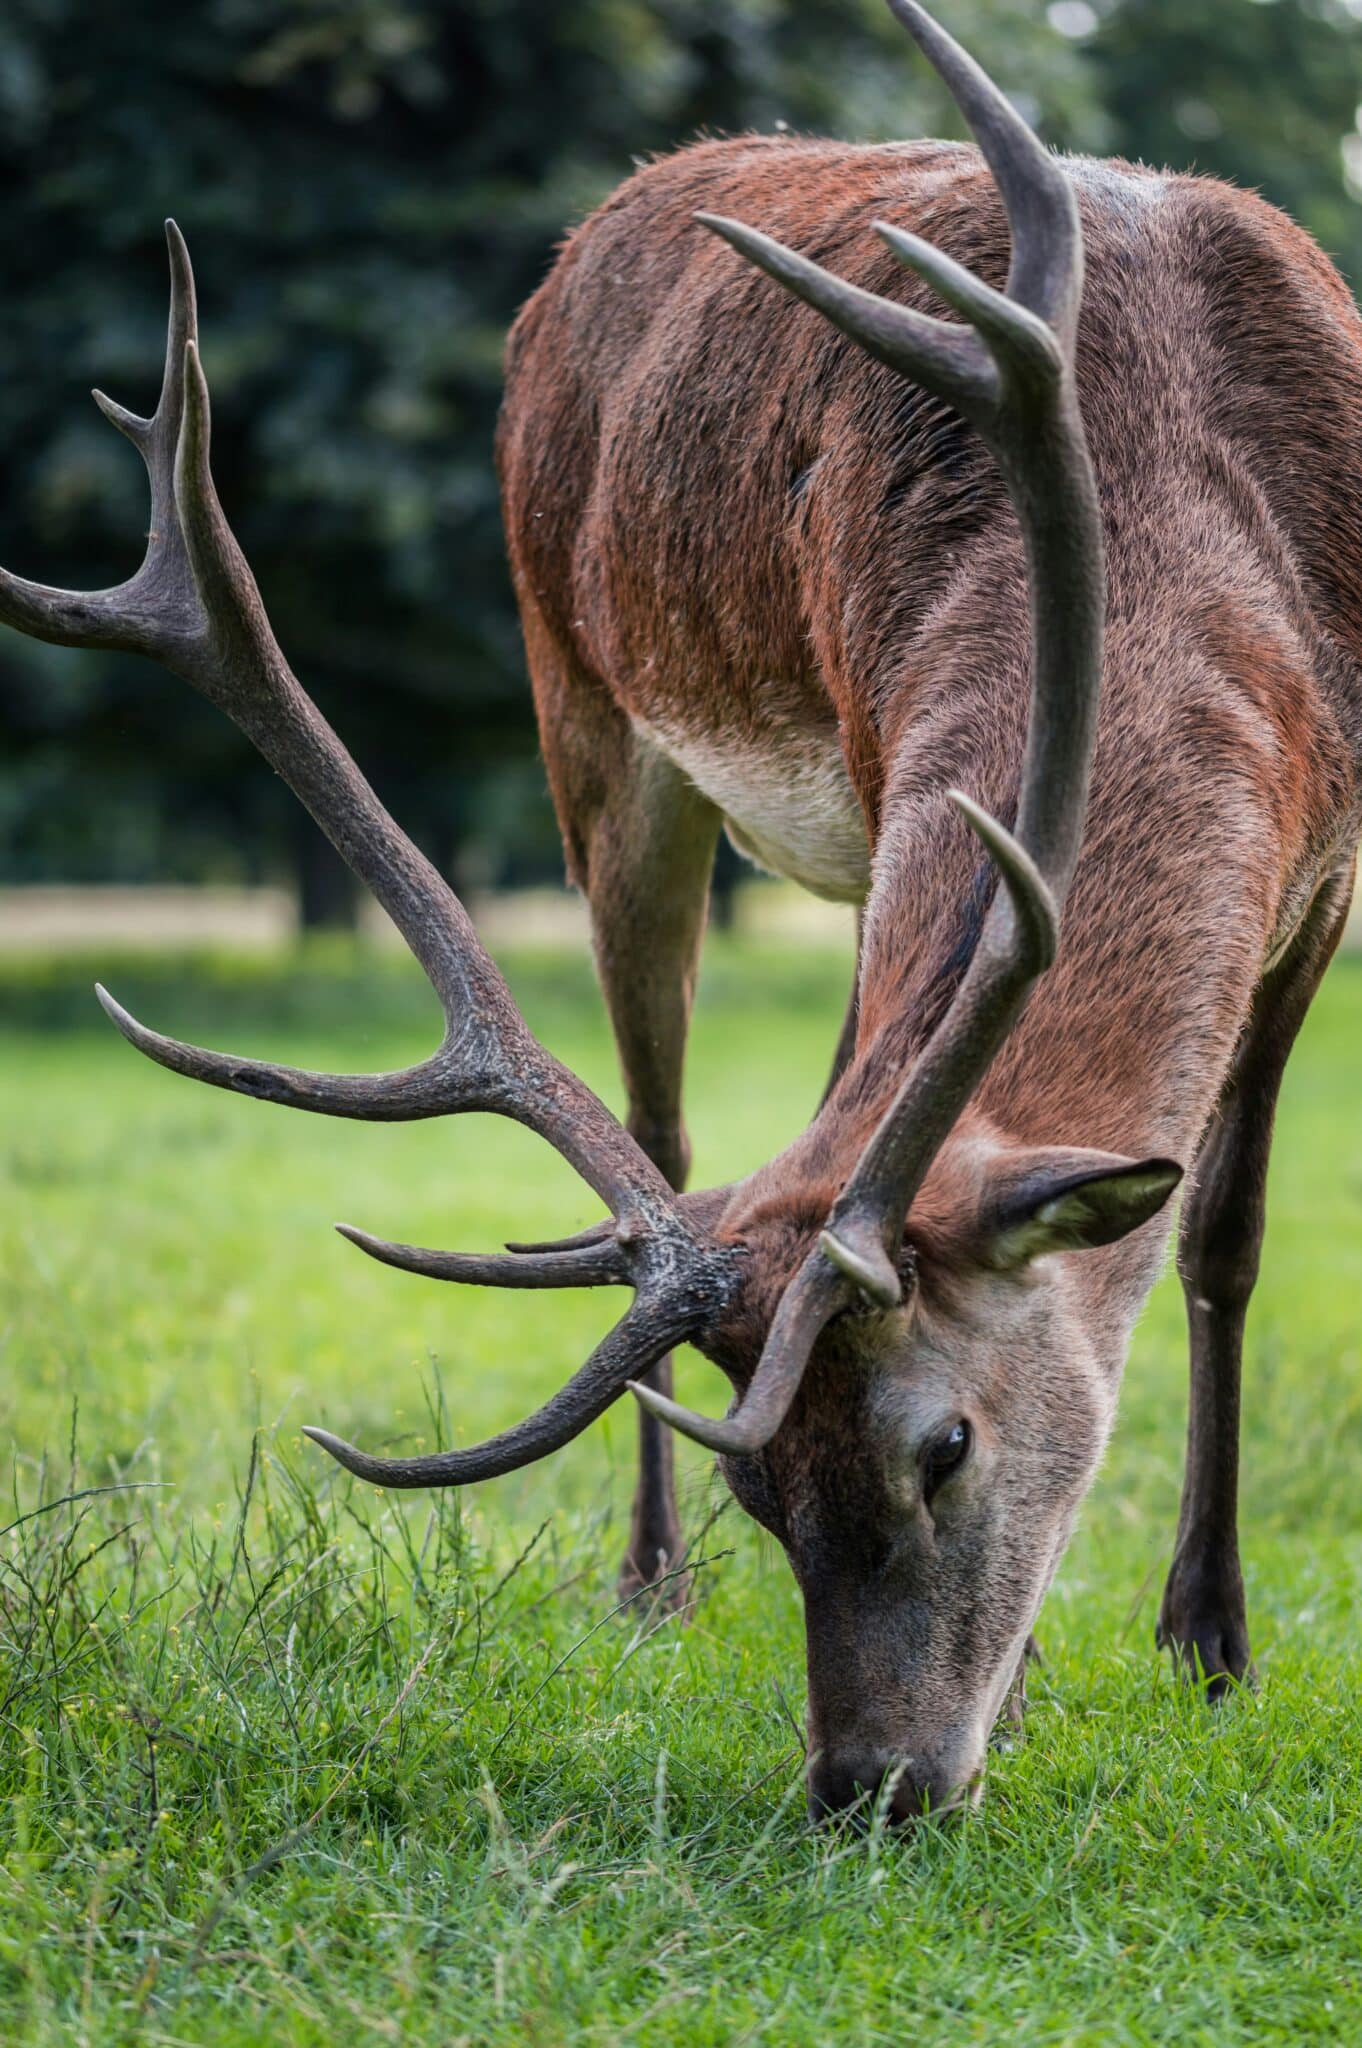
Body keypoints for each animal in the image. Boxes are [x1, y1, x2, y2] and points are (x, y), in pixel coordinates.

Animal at [3, 0, 1360, 1826]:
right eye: (760, 1496)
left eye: (943, 1443)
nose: (868, 1779)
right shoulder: (869, 749)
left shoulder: (1326, 869)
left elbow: (1223, 1233)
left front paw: (1207, 1643)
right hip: (589, 710)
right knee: (663, 1110)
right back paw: (641, 1581)